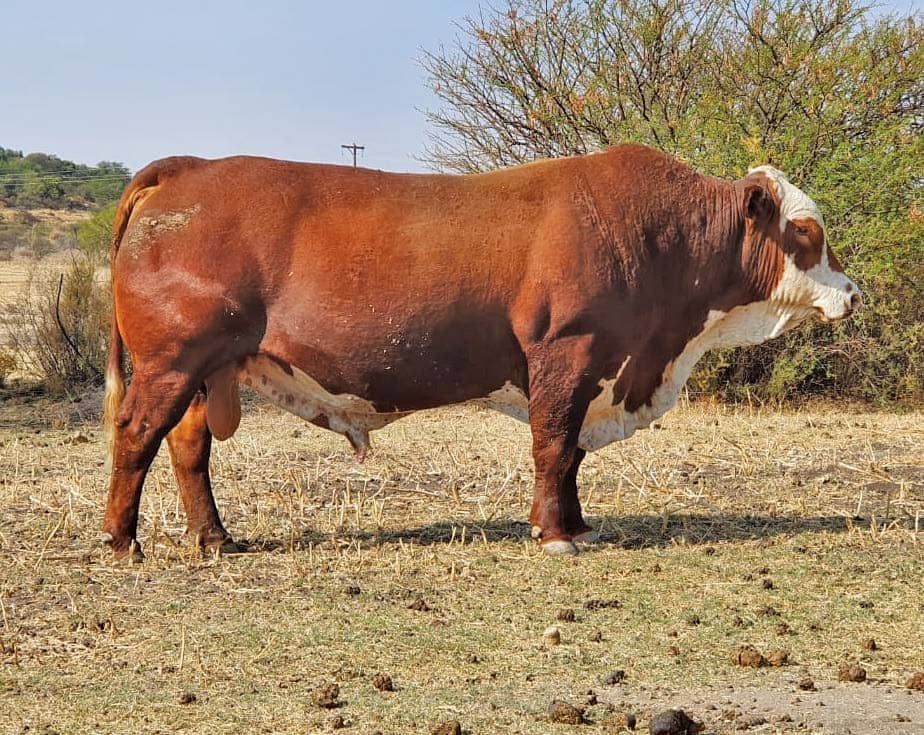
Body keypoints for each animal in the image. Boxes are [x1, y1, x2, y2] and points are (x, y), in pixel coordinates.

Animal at [100, 144, 860, 560]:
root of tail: (189, 170)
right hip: (172, 360)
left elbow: (571, 453)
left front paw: (577, 524)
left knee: (188, 446)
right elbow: (553, 444)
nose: (853, 293)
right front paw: (553, 534)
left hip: (206, 369)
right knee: (136, 432)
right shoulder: (567, 351)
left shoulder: (593, 369)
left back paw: (216, 539)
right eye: (807, 232)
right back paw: (122, 541)